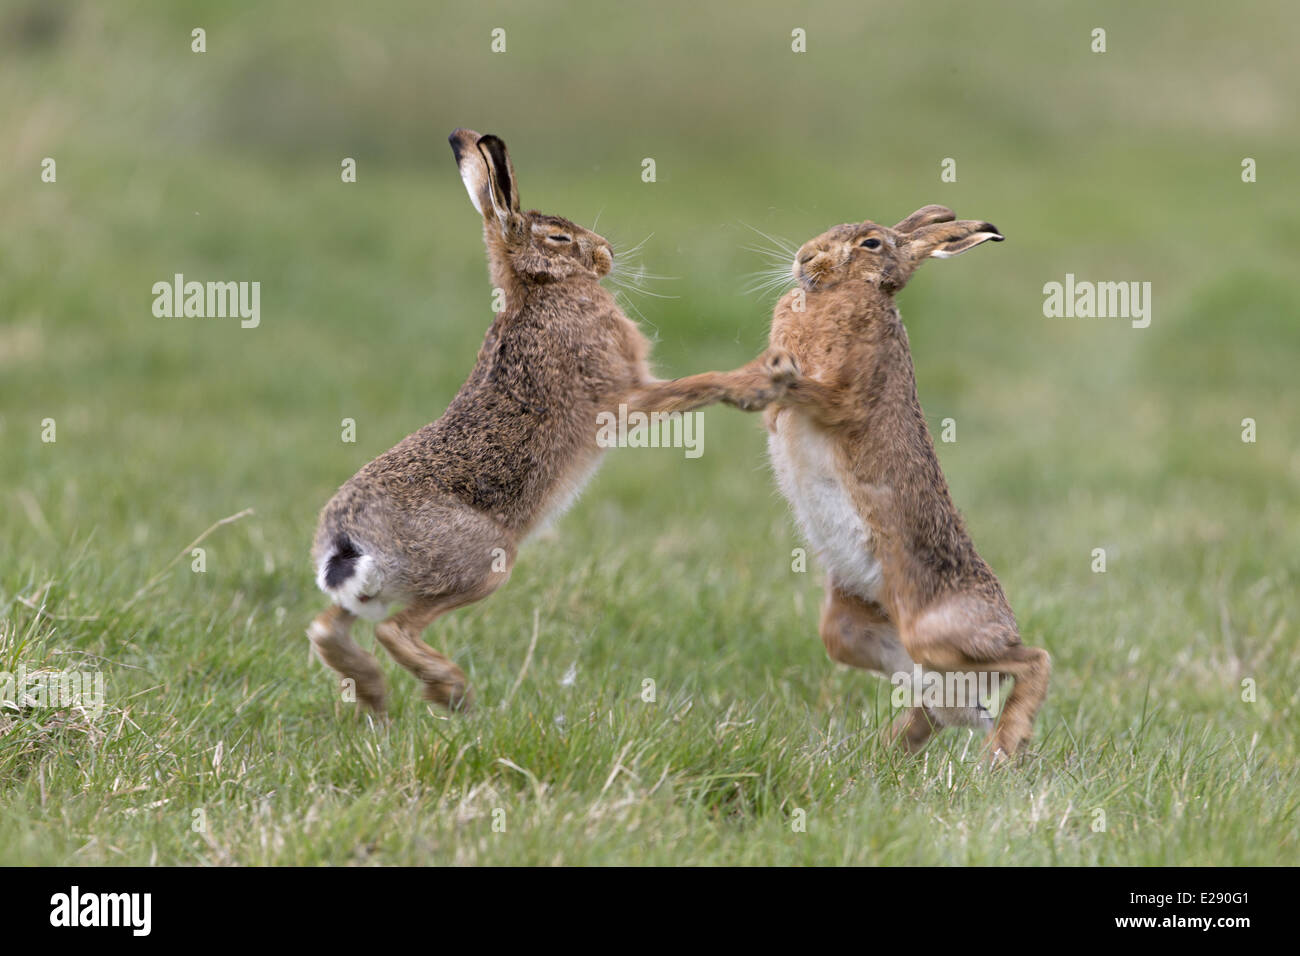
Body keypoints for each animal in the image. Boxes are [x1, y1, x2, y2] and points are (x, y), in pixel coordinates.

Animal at [306, 128, 796, 715]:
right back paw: (452, 691)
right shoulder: (622, 397)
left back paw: (375, 694)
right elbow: (695, 385)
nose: (606, 253)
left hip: (386, 590)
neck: (539, 289)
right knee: (394, 630)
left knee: (327, 628)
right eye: (560, 237)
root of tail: (345, 541)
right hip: (481, 562)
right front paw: (760, 382)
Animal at [762, 204, 1049, 760]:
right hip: (854, 629)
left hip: (936, 635)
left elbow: (812, 391)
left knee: (1034, 660)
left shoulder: (844, 393)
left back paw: (1002, 752)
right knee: (939, 699)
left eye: (871, 244)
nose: (804, 257)